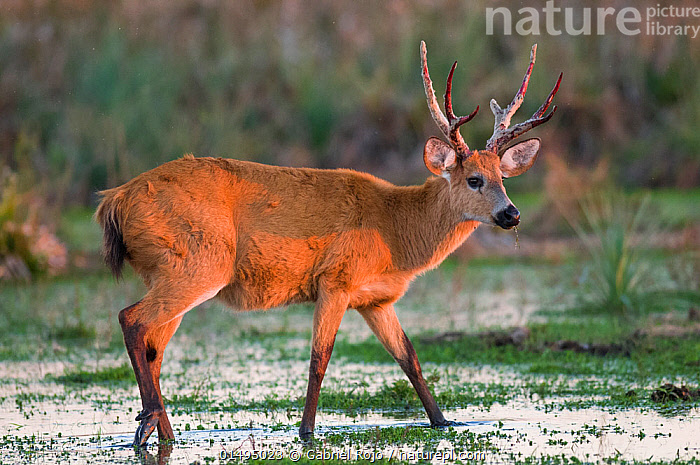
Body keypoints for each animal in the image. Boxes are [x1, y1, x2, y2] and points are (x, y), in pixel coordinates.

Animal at [95, 41, 561, 447]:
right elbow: (320, 359)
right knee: (131, 319)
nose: (512, 214)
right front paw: (305, 433)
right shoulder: (335, 280)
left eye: (503, 178)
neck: (395, 230)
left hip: (171, 271)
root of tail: (114, 201)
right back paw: (148, 423)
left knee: (153, 346)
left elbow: (409, 359)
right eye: (474, 179)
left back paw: (161, 433)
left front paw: (444, 423)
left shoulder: (376, 299)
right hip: (197, 263)